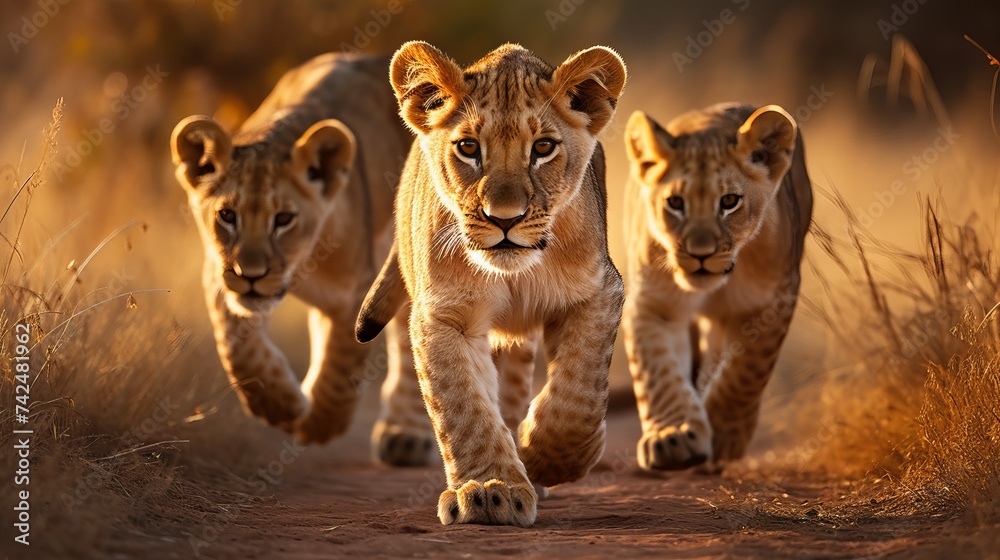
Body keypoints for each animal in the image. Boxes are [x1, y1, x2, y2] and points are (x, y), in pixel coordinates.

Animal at [170, 53, 435, 466]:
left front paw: (319, 425)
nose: (251, 274)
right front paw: (279, 405)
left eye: (284, 219)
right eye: (227, 216)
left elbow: (340, 363)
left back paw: (406, 437)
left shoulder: (351, 291)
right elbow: (238, 347)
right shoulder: (219, 276)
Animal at [355, 42, 627, 526]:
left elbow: (579, 394)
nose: (505, 219)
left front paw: (544, 461)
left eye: (543, 148)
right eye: (468, 148)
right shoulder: (446, 316)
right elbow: (463, 406)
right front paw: (489, 489)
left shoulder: (599, 292)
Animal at [622, 103, 813, 471]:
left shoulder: (771, 302)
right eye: (675, 203)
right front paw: (673, 437)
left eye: (729, 201)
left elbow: (745, 371)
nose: (701, 254)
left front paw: (724, 435)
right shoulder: (654, 303)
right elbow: (657, 370)